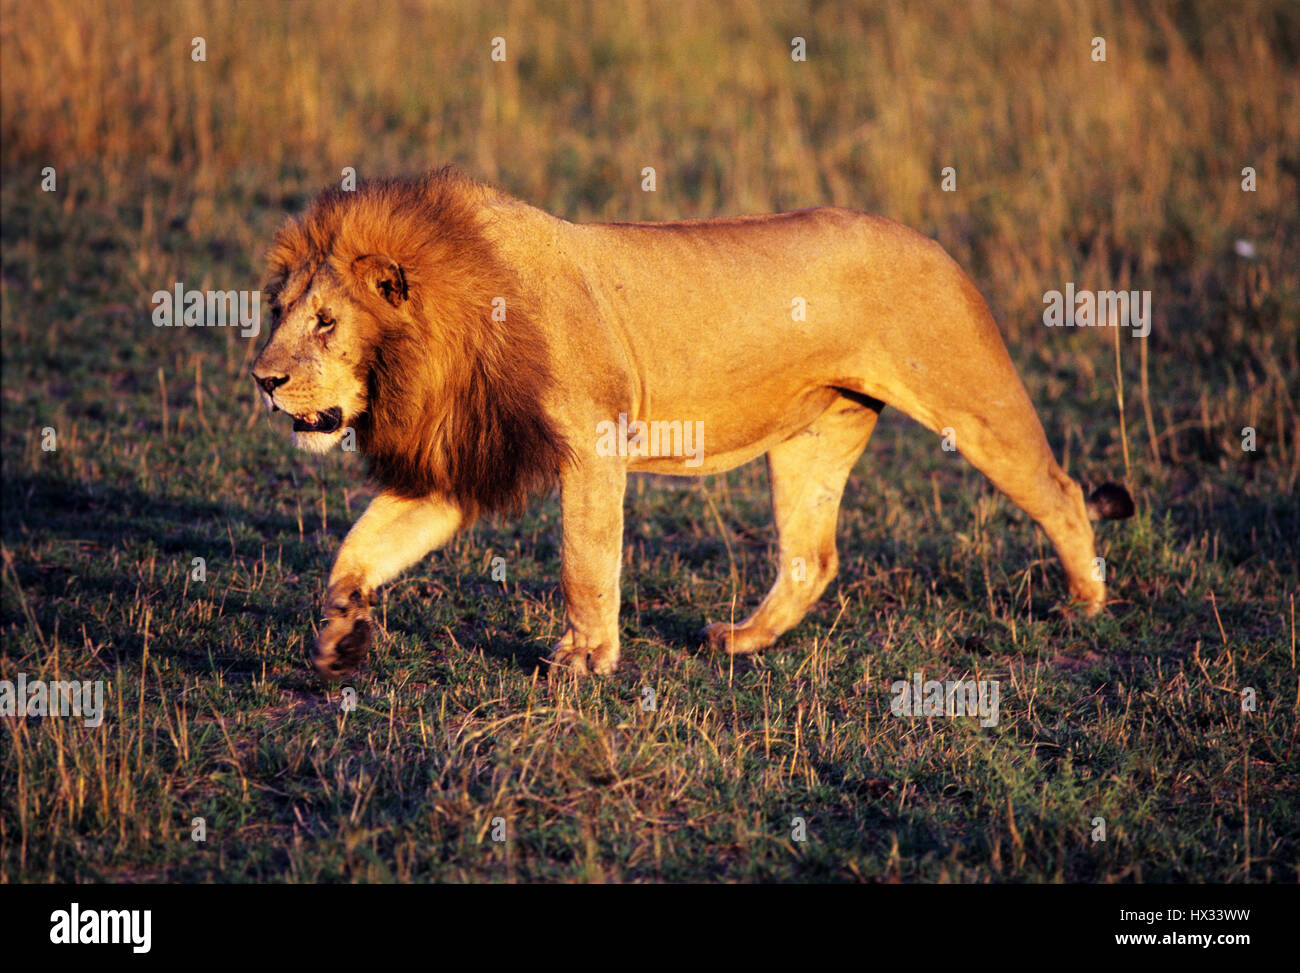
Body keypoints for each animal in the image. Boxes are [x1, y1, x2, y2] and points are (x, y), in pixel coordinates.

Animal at [251, 168, 1134, 679]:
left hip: (969, 394)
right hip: (814, 437)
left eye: (326, 322)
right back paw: (742, 639)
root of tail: (932, 242)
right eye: (280, 312)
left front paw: (585, 659)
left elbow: (585, 561)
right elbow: (358, 549)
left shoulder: (593, 445)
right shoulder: (460, 462)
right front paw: (340, 637)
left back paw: (1084, 603)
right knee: (813, 555)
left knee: (1058, 489)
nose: (262, 379)